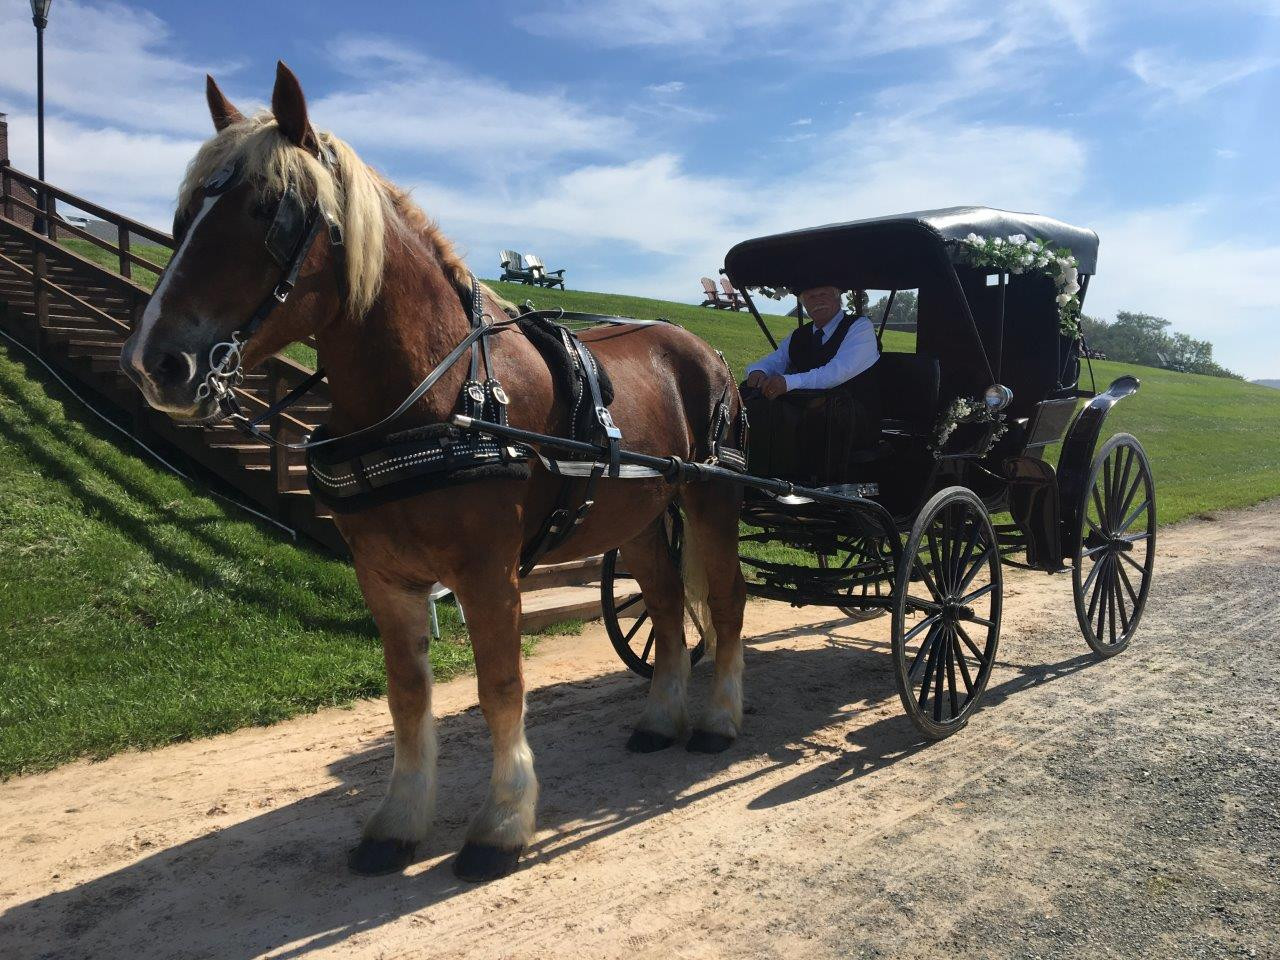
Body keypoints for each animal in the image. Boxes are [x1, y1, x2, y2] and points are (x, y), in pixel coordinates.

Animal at [120, 62, 748, 882]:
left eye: (268, 210)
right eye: (184, 212)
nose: (155, 363)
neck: (440, 397)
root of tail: (702, 349)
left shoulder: (488, 574)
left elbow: (500, 688)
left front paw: (503, 823)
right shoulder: (385, 578)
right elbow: (408, 699)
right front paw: (399, 821)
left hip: (712, 497)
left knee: (727, 602)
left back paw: (719, 719)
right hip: (636, 517)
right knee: (670, 607)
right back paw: (661, 717)